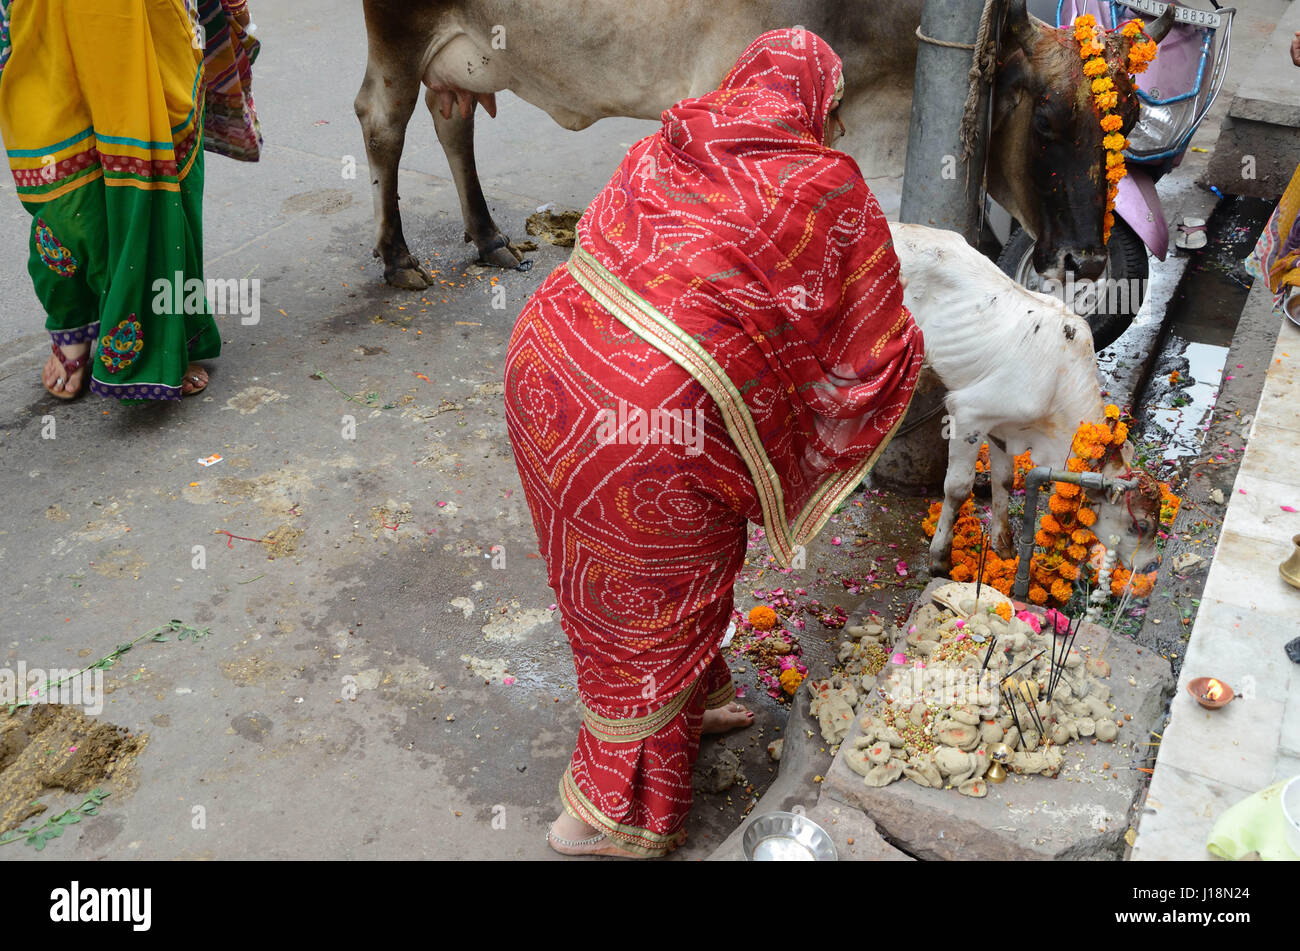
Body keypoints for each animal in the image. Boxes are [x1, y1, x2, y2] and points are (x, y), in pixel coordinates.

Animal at [354, 0, 1172, 289]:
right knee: (382, 122)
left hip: (465, 52)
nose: (1088, 261)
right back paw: (397, 258)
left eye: (1130, 119)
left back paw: (489, 235)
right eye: (1047, 123)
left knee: (451, 120)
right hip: (399, 31)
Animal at [890, 222, 1161, 578]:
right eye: (1137, 525)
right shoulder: (967, 414)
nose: (1151, 565)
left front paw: (1003, 545)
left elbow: (1004, 482)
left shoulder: (1003, 428)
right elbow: (958, 488)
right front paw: (939, 558)